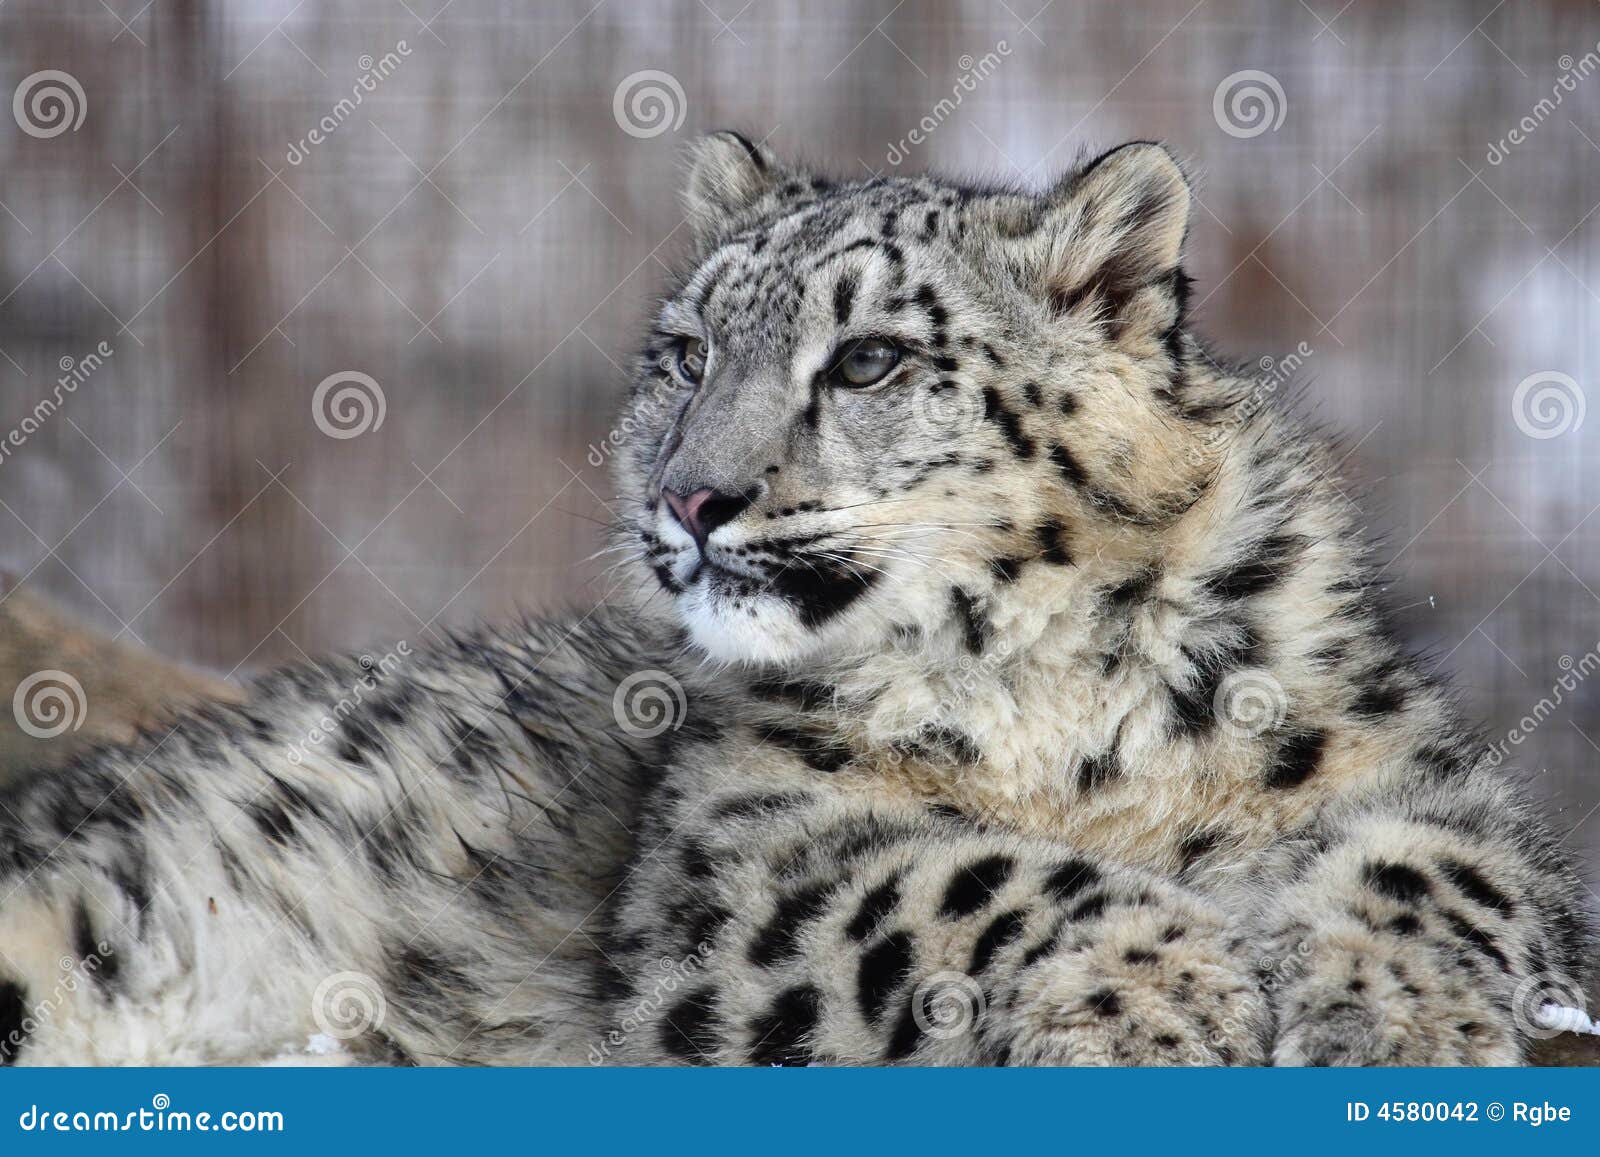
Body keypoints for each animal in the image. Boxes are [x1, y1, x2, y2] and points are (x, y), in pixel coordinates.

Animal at [0, 134, 1590, 1067]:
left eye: (871, 358)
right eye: (689, 354)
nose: (691, 499)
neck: (1059, 701)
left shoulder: (1418, 776)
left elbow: (1435, 865)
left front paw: (1403, 1024)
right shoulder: (740, 855)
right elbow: (971, 872)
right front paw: (1161, 989)